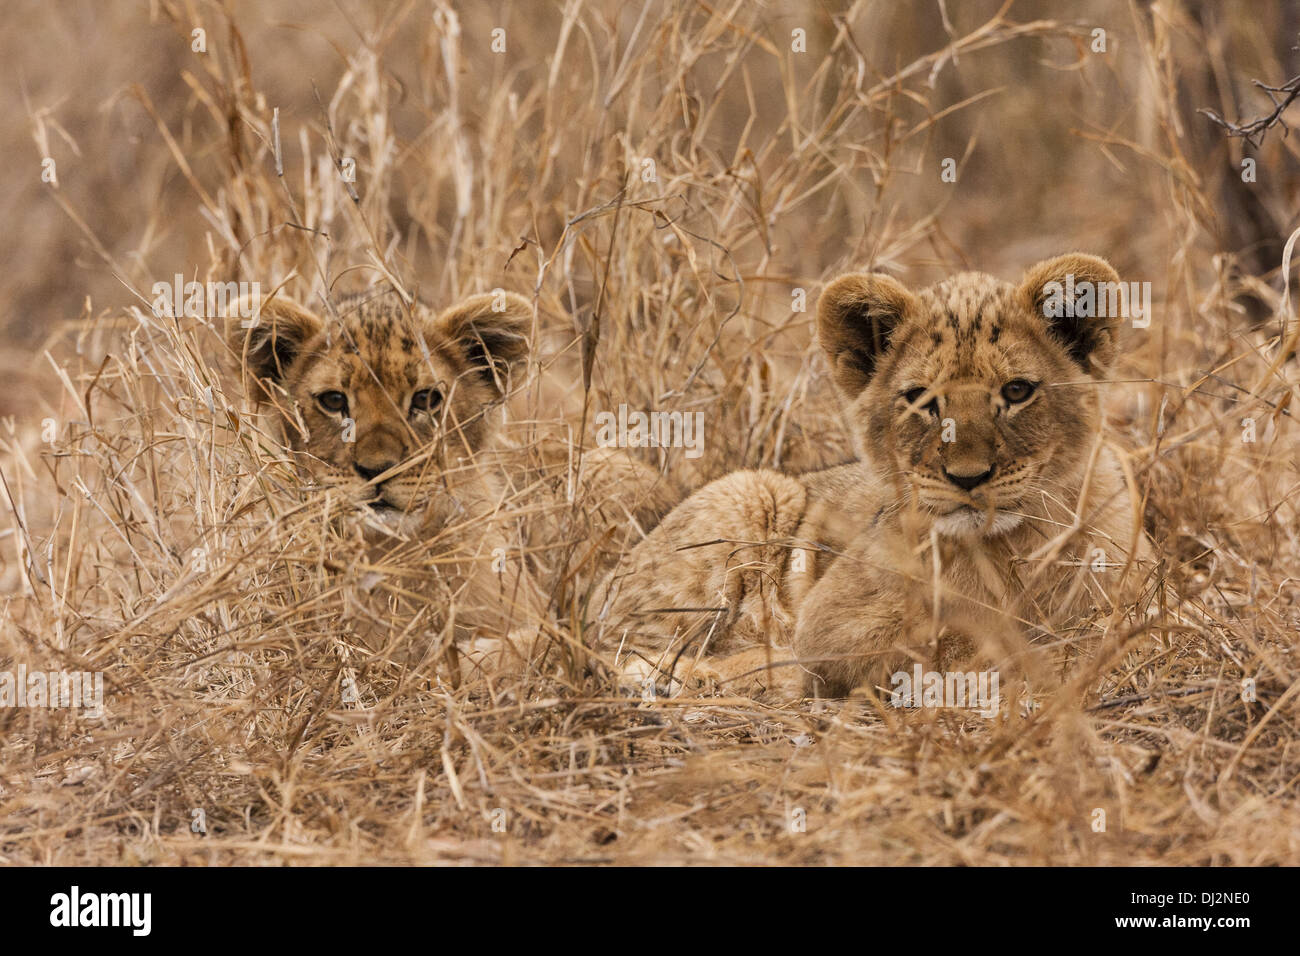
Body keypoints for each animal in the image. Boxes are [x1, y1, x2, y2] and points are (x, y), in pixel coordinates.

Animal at [592, 254, 1150, 701]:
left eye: (1016, 391)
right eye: (921, 399)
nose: (968, 478)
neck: (1009, 549)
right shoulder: (830, 625)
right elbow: (961, 642)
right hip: (753, 489)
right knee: (620, 647)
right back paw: (665, 673)